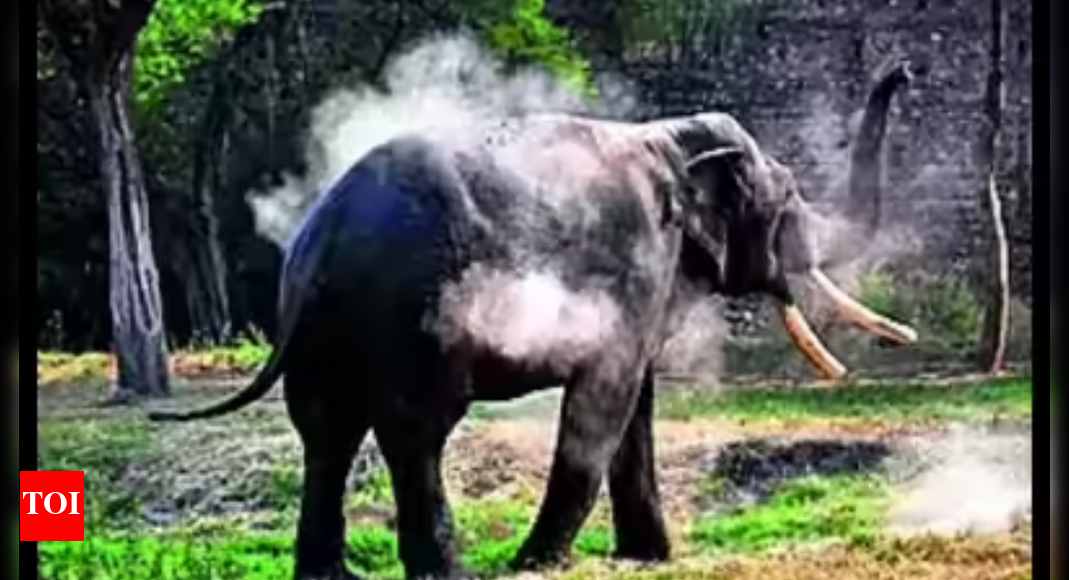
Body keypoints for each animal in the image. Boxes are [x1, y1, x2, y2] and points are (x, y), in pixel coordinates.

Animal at [149, 62, 917, 580]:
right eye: (785, 200)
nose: (905, 71)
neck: (668, 137)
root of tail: (322, 238)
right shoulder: (633, 264)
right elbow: (603, 402)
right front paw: (539, 564)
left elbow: (634, 402)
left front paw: (648, 558)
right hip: (420, 317)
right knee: (414, 432)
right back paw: (448, 572)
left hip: (325, 334)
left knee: (325, 432)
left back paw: (331, 575)